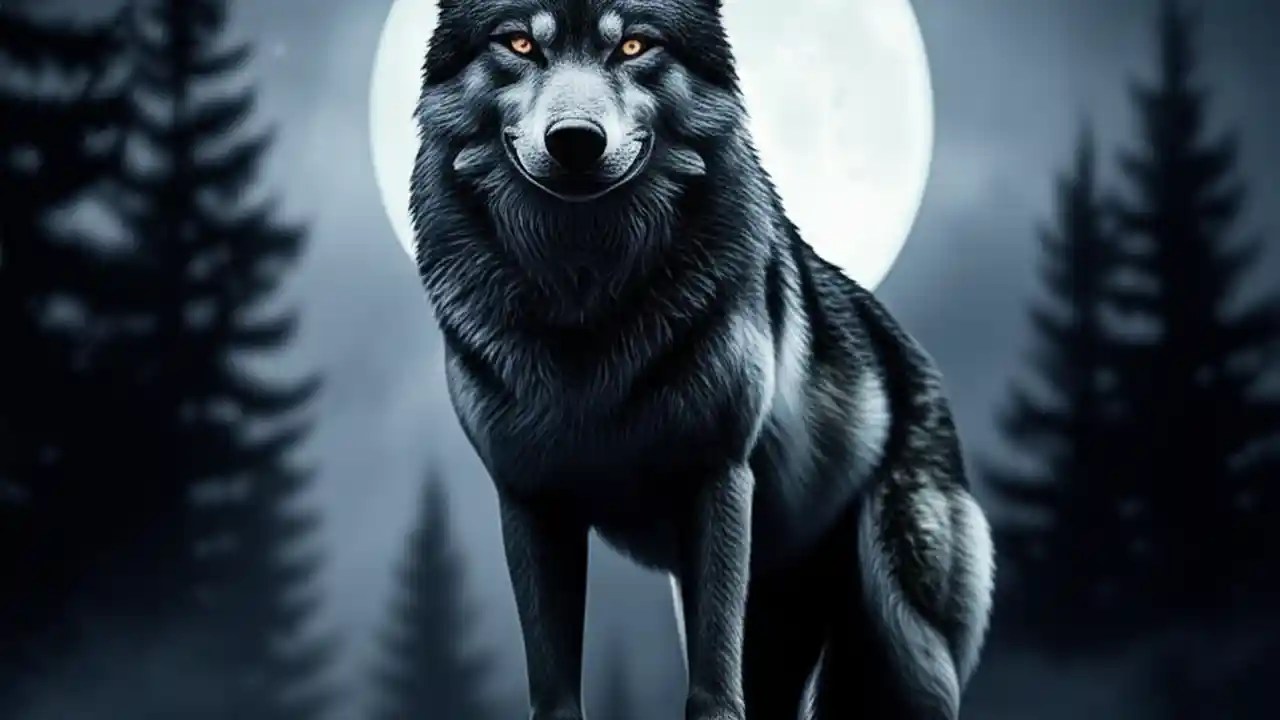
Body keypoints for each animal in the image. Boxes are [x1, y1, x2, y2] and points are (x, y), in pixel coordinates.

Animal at [408, 1, 994, 718]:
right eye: (519, 43)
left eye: (634, 46)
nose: (575, 141)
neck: (584, 301)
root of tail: (918, 365)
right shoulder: (531, 500)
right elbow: (553, 684)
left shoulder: (717, 477)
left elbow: (714, 682)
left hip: (897, 650)